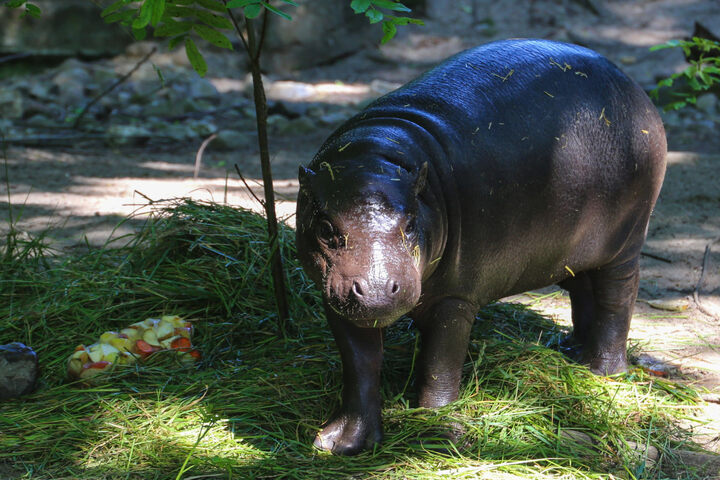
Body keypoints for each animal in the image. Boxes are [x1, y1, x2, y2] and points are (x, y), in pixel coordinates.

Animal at [295, 39, 667, 455]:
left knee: (617, 298)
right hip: (574, 249)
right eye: (325, 227)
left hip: (625, 240)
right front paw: (337, 443)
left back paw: (602, 372)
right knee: (583, 289)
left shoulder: (456, 298)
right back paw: (571, 351)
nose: (376, 289)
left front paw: (438, 430)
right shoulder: (338, 301)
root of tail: (633, 86)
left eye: (411, 223)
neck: (376, 153)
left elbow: (440, 365)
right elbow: (359, 366)